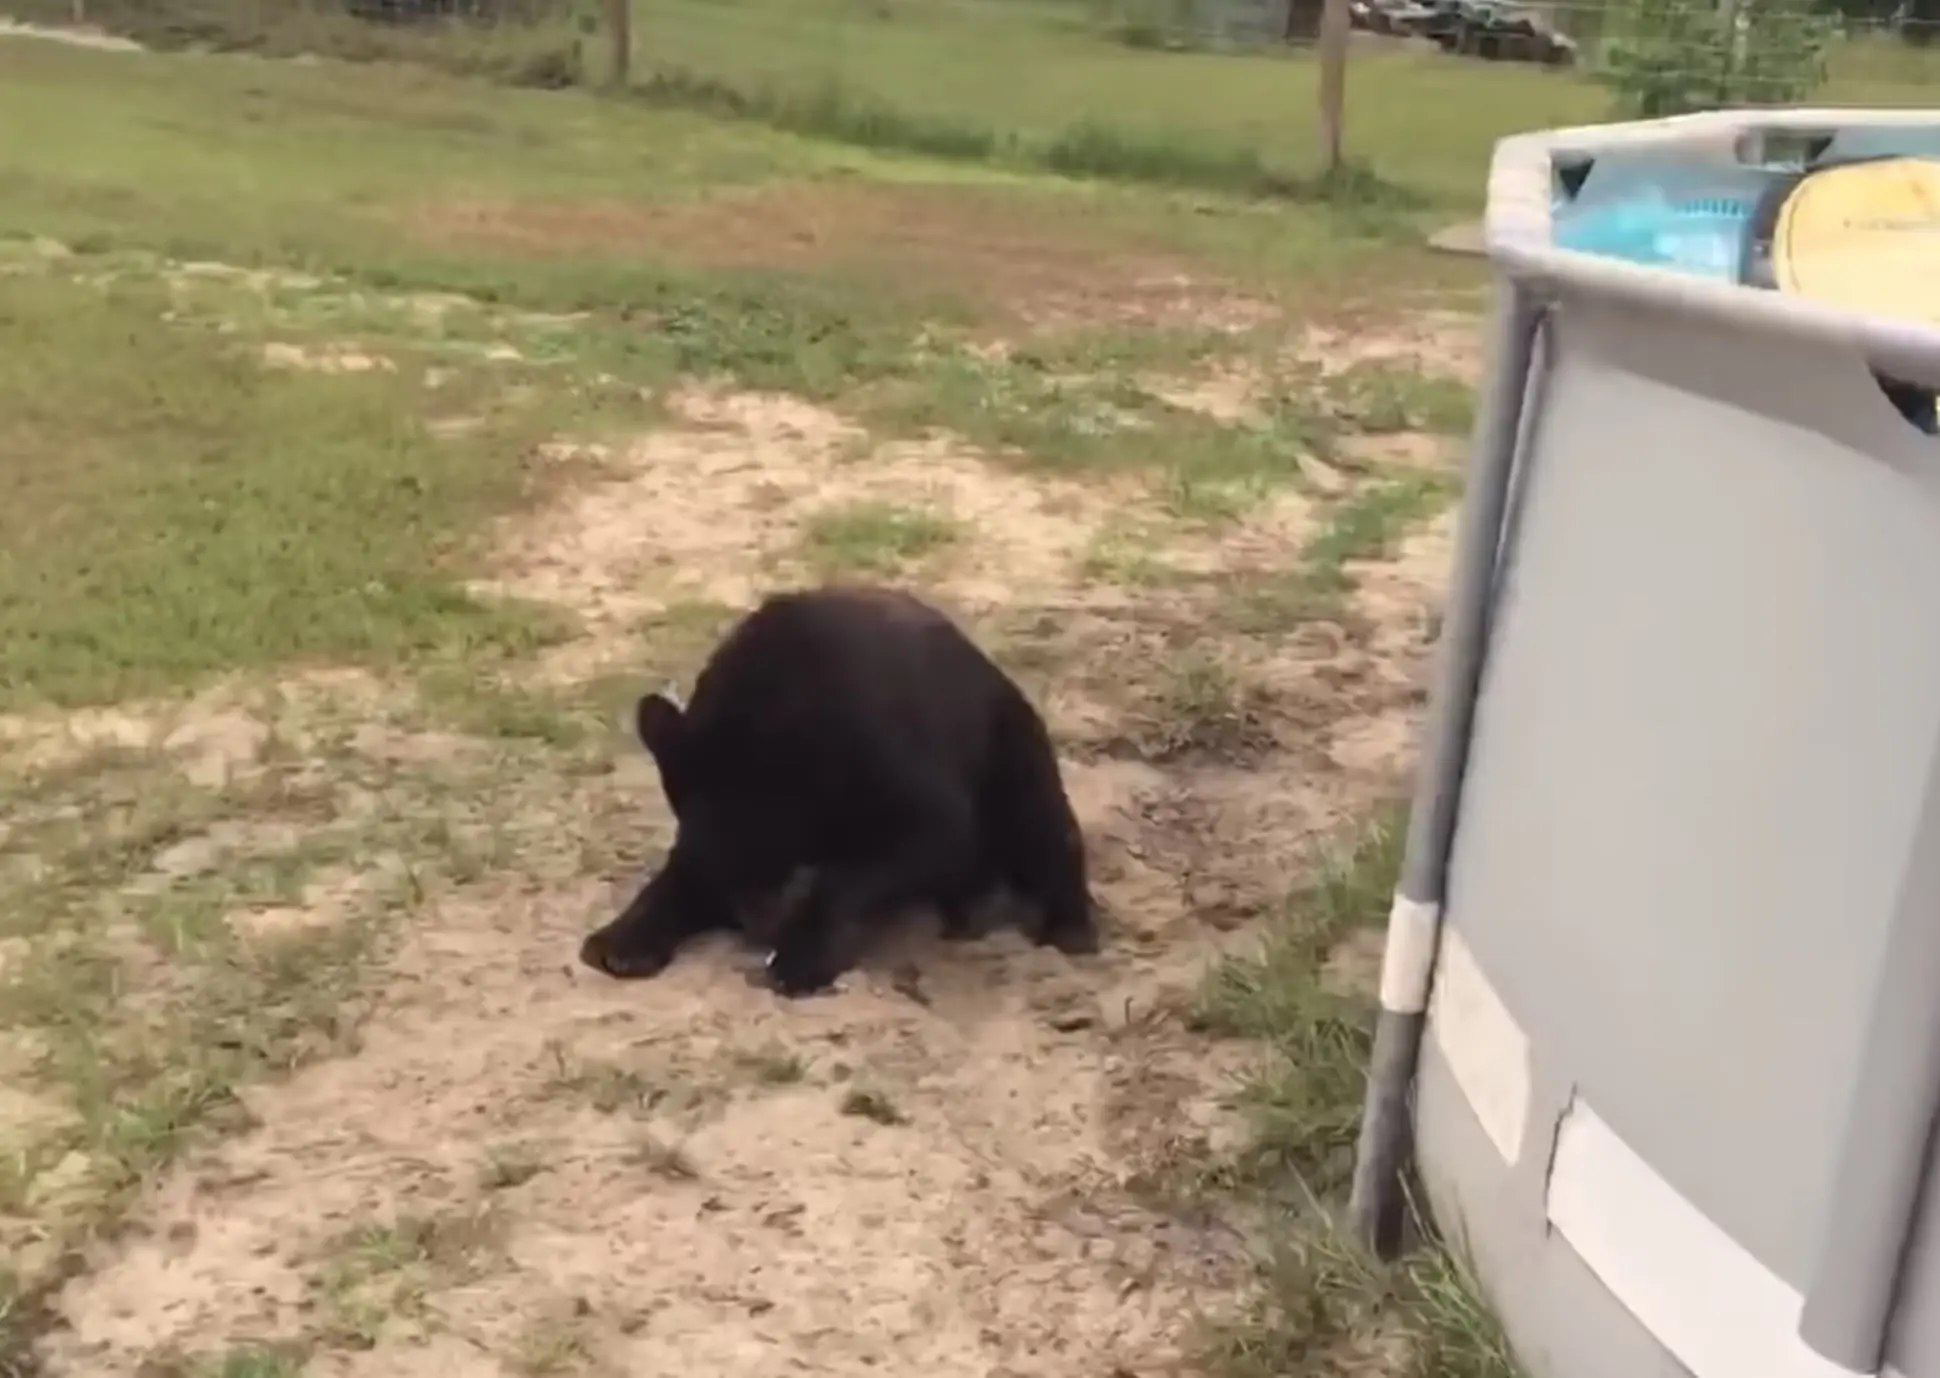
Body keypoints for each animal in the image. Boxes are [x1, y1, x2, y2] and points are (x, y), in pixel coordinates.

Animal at [578, 585, 1100, 997]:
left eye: (769, 847)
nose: (746, 922)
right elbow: (678, 871)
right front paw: (623, 939)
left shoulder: (924, 814)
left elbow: (845, 880)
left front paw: (800, 958)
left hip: (1019, 767)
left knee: (1049, 839)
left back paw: (1067, 932)